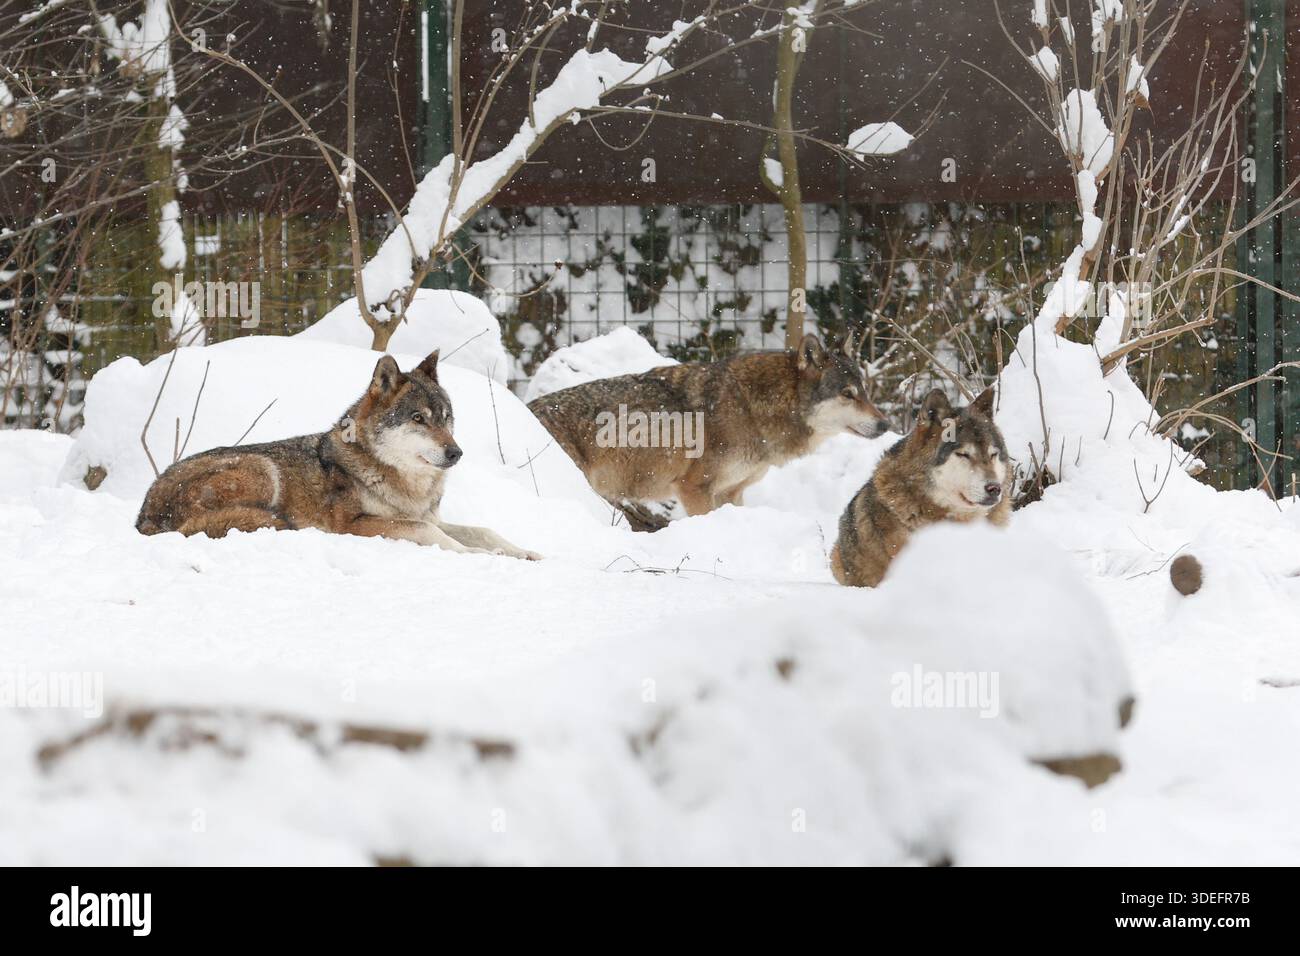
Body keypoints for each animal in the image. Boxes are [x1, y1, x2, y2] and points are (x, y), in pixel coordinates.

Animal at [135, 349, 540, 559]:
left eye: (445, 418)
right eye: (417, 419)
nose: (456, 453)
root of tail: (144, 514)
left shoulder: (428, 516)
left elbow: (483, 530)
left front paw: (525, 552)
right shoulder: (357, 524)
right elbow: (433, 533)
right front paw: (482, 557)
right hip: (263, 469)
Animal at [528, 334, 889, 530]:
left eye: (864, 391)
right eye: (847, 394)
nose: (885, 424)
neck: (752, 408)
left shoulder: (732, 493)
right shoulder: (694, 488)